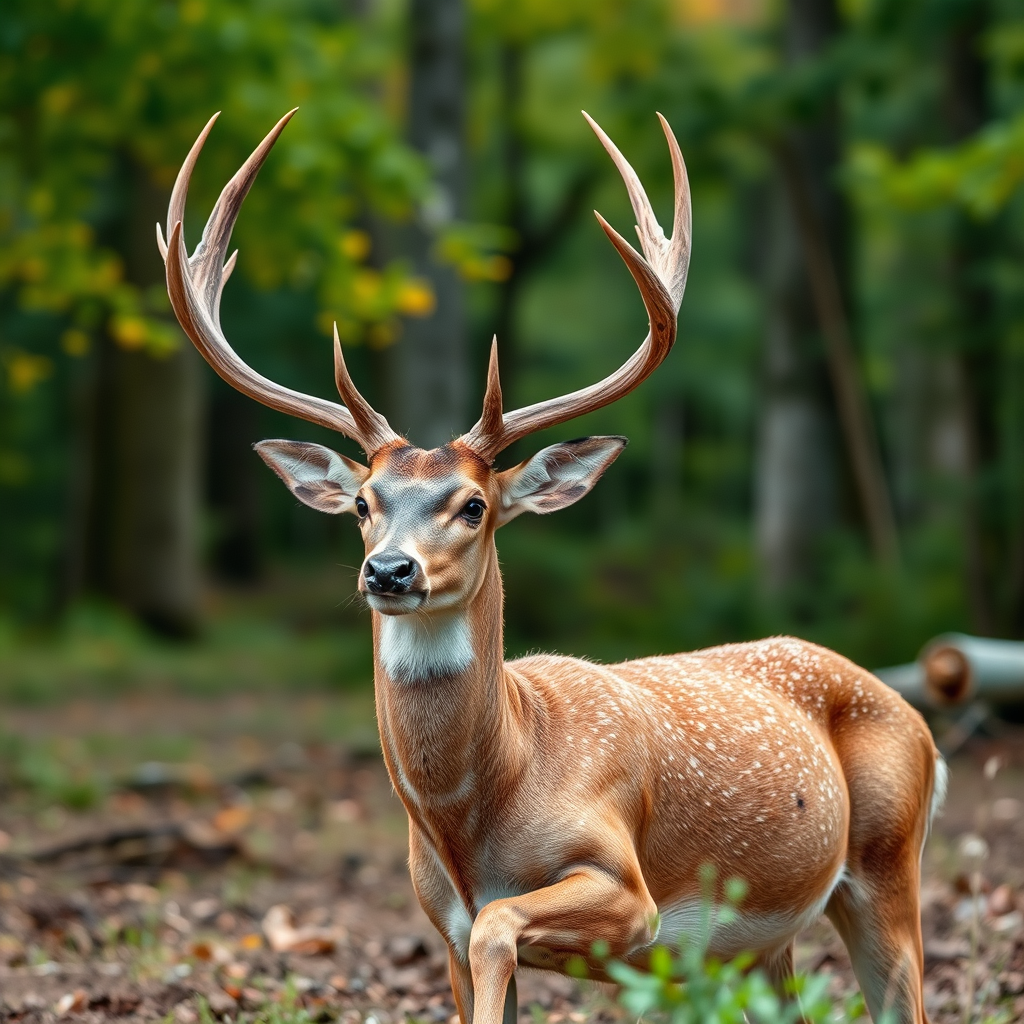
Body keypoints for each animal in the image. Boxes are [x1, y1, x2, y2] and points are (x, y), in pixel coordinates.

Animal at [158, 109, 946, 1024]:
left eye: (474, 505)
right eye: (362, 504)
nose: (389, 572)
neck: (484, 802)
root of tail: (916, 711)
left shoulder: (627, 891)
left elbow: (502, 924)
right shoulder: (439, 917)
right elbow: (478, 955)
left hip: (890, 861)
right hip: (764, 943)